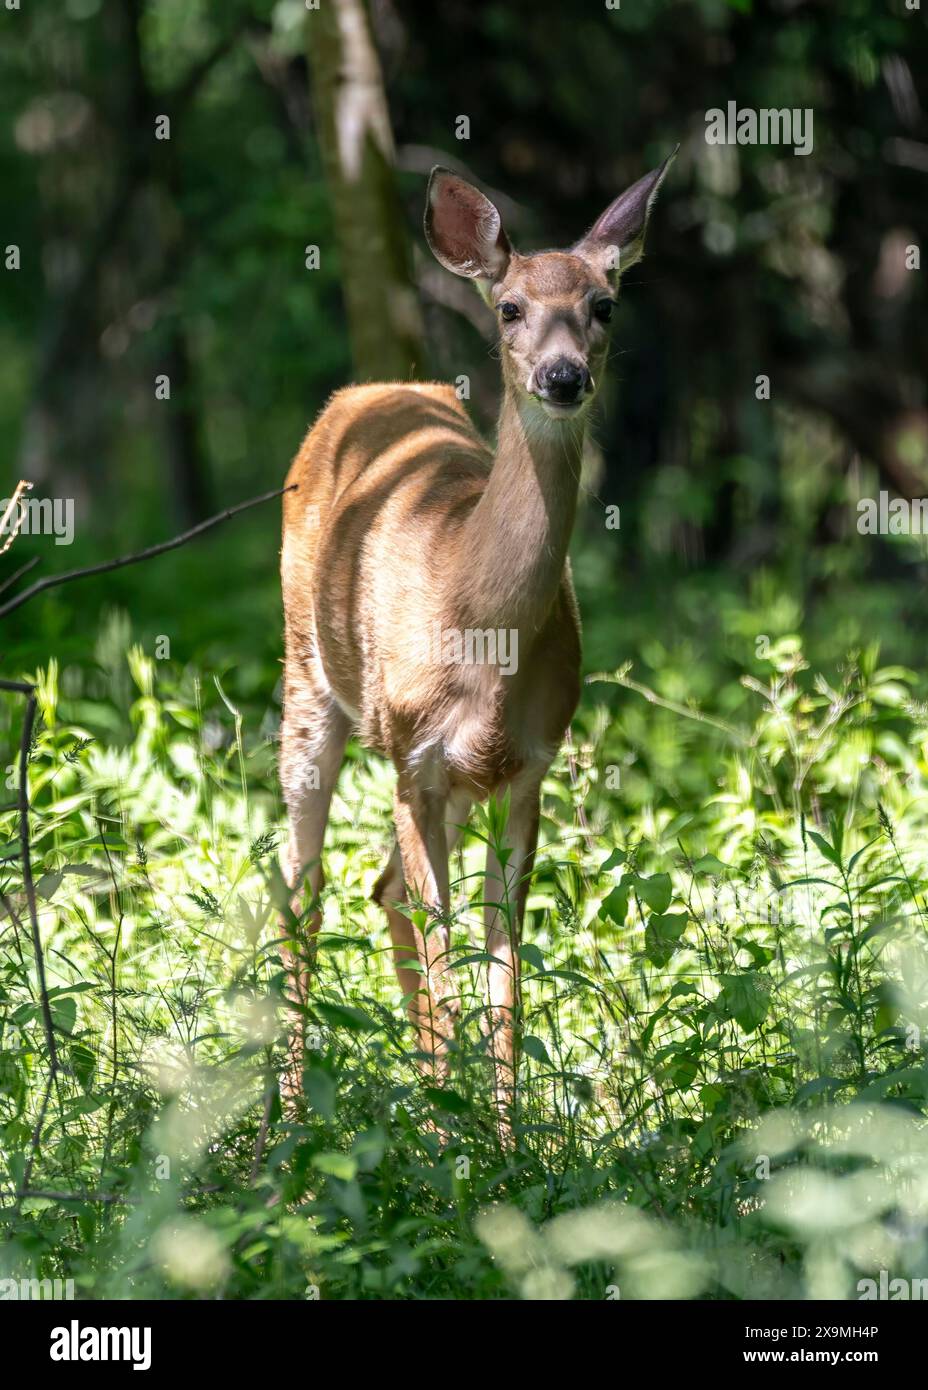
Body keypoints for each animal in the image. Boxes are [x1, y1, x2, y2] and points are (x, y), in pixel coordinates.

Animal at [279, 149, 675, 1136]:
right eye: (509, 308)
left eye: (604, 303)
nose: (564, 376)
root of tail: (367, 391)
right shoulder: (411, 756)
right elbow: (452, 961)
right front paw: (447, 1137)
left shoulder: (527, 766)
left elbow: (504, 976)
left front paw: (504, 1138)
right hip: (309, 677)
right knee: (301, 888)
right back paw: (289, 1119)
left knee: (379, 889)